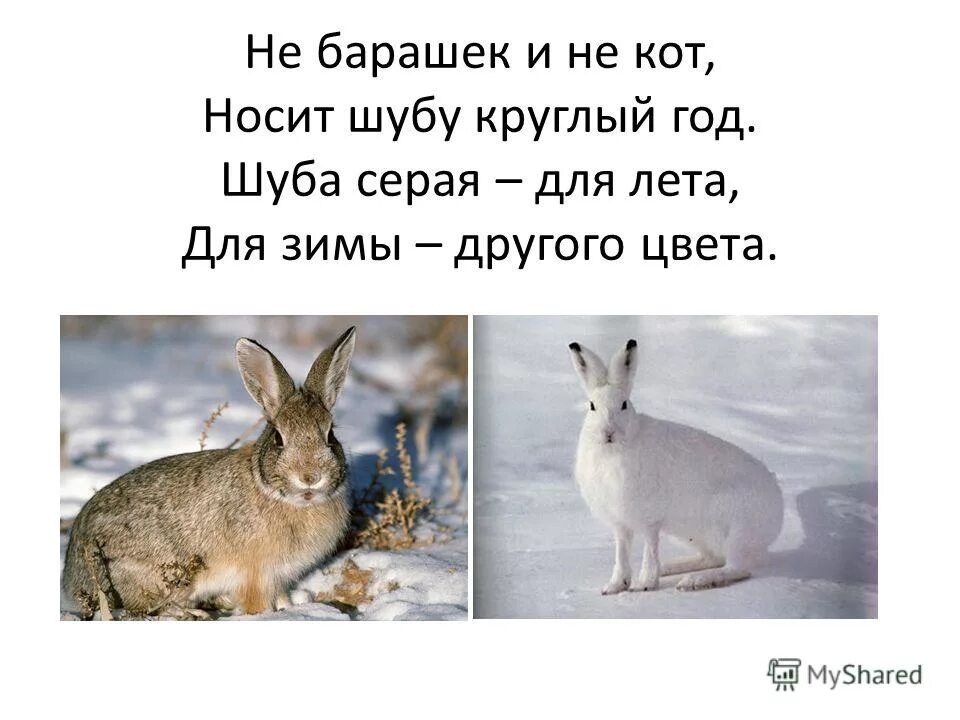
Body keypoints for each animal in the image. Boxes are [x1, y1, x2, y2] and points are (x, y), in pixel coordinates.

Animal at [62, 327, 357, 619]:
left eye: (330, 435)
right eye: (278, 438)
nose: (310, 477)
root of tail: (71, 578)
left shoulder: (279, 577)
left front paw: (291, 608)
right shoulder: (256, 575)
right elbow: (258, 604)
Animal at [568, 338, 783, 595]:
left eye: (624, 405)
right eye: (592, 406)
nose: (608, 433)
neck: (613, 450)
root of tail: (778, 513)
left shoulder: (650, 519)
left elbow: (649, 548)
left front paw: (644, 584)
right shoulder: (619, 523)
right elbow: (621, 553)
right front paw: (613, 587)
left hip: (737, 526)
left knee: (737, 567)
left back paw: (696, 581)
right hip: (694, 533)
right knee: (713, 557)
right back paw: (673, 568)